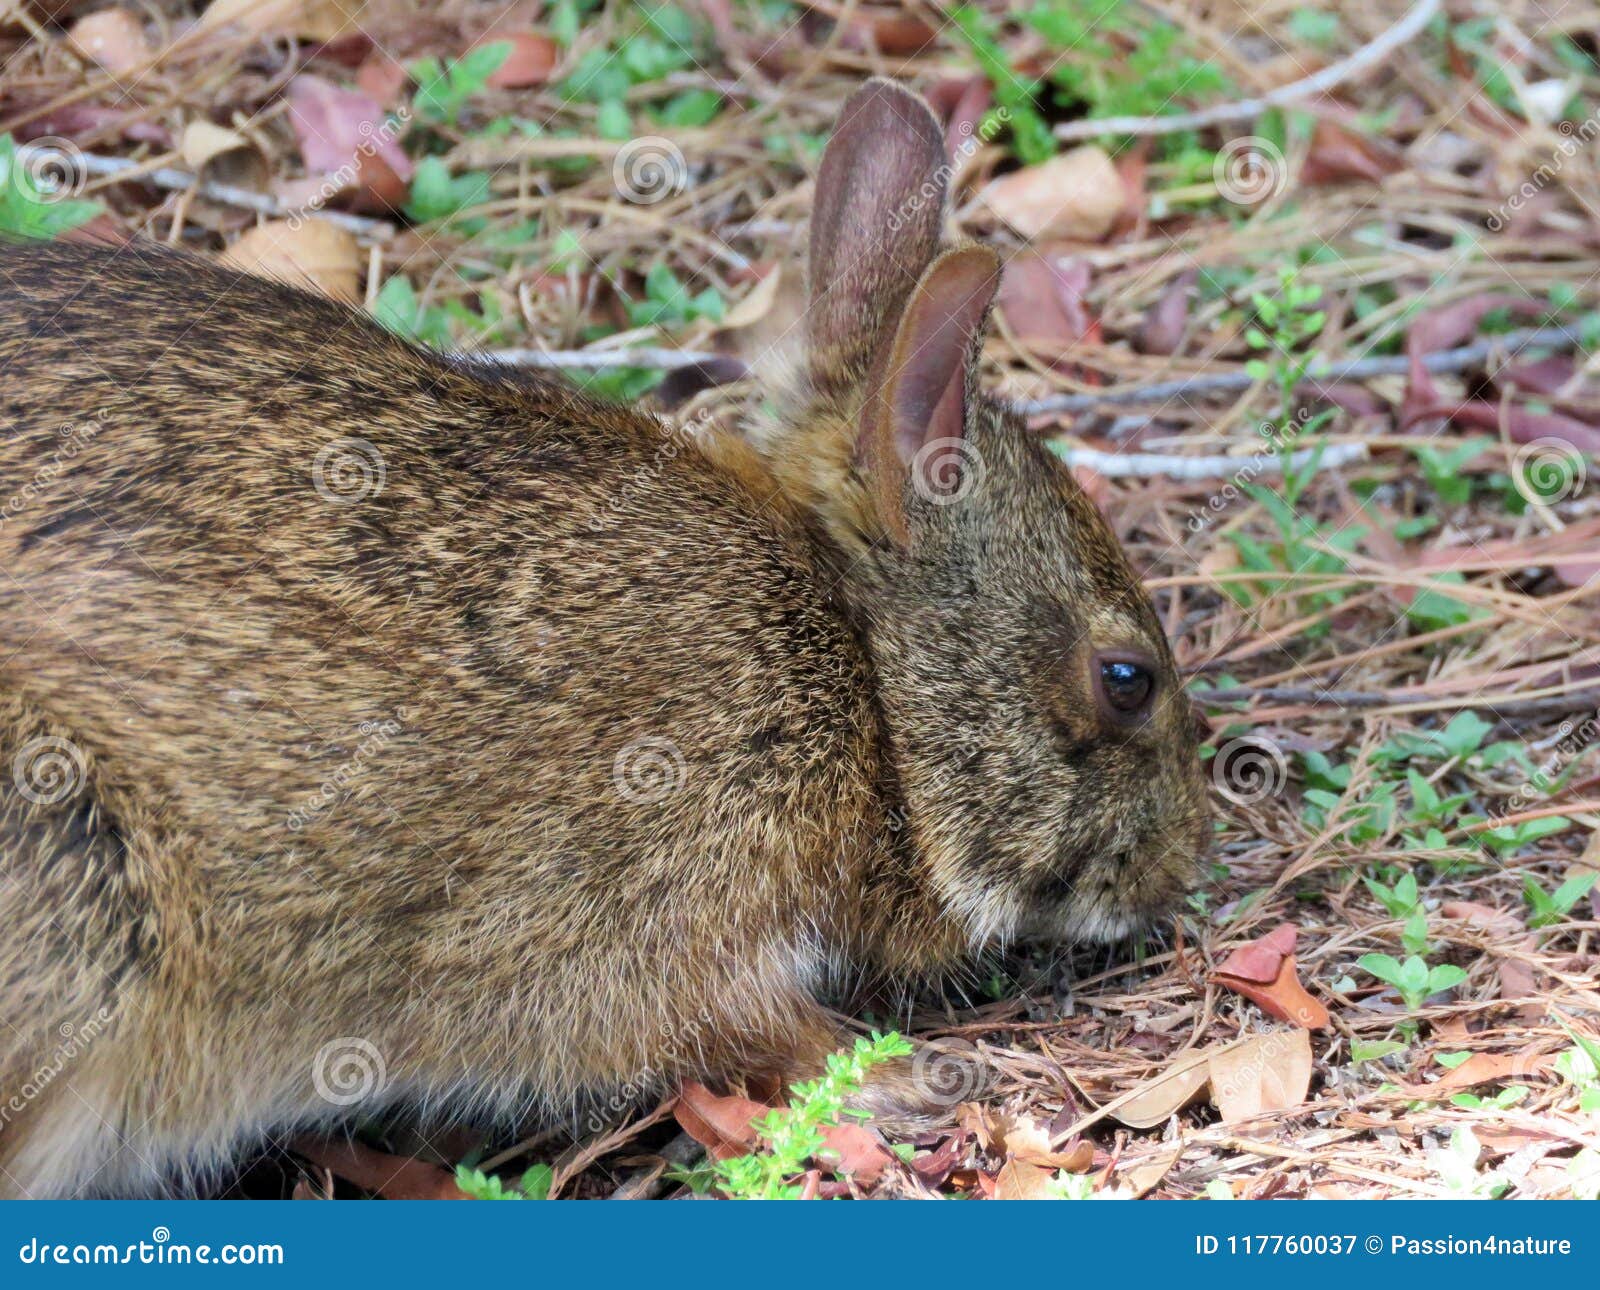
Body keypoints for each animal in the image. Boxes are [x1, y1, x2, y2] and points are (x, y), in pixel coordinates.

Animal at [0, 79, 1208, 1198]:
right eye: (1126, 679)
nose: (1178, 873)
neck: (863, 686)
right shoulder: (656, 903)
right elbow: (745, 1029)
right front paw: (902, 1081)